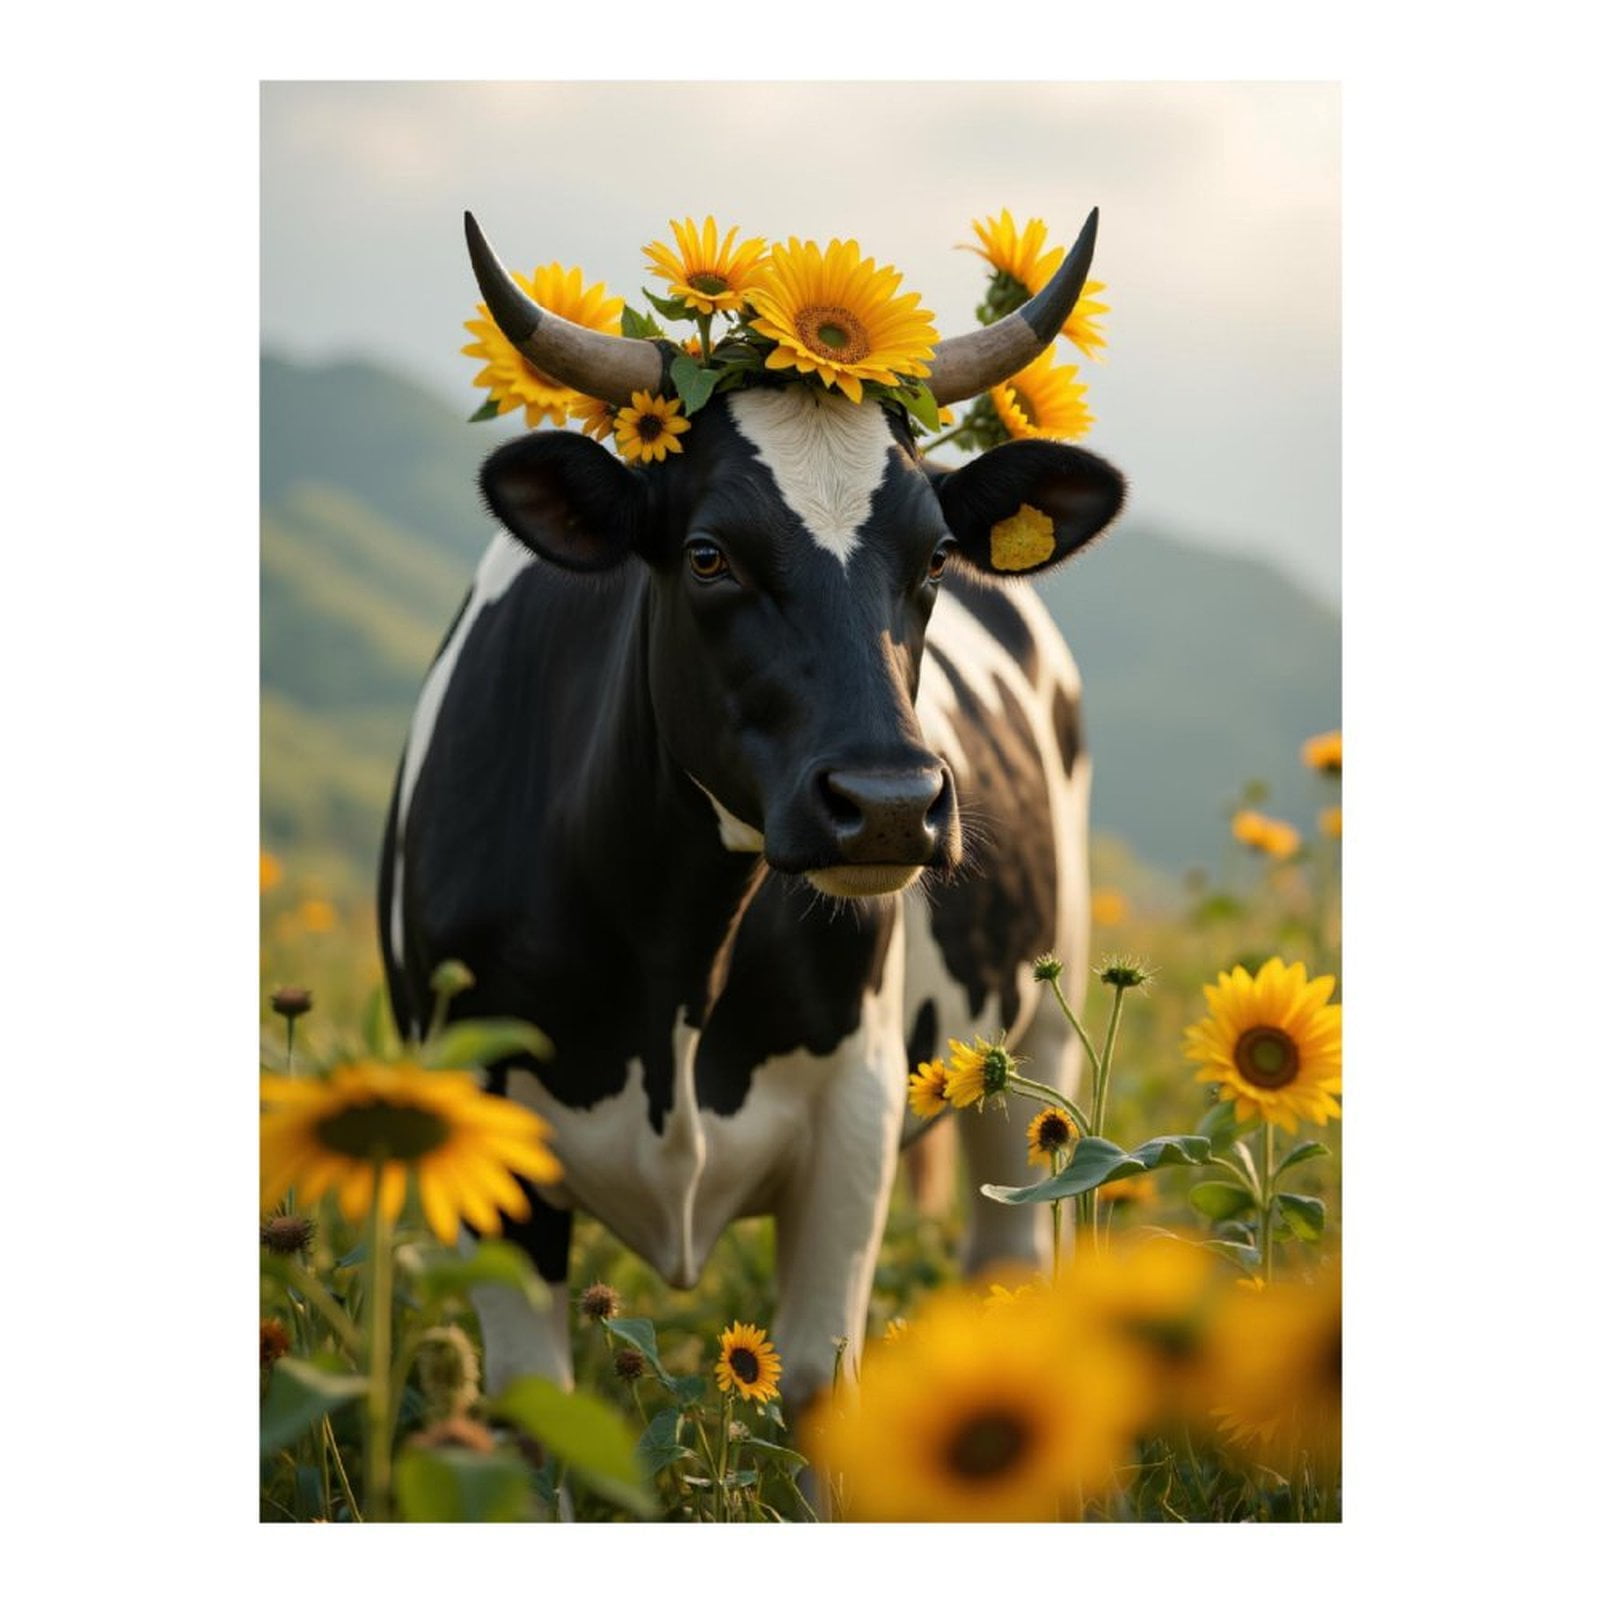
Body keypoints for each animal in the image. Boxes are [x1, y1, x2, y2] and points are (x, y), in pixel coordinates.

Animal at [379, 210, 1126, 1426]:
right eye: (707, 555)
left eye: (934, 556)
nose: (890, 806)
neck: (675, 949)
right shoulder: (485, 1148)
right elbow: (538, 1411)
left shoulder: (855, 1122)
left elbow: (818, 1390)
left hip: (1038, 1050)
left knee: (1006, 1254)